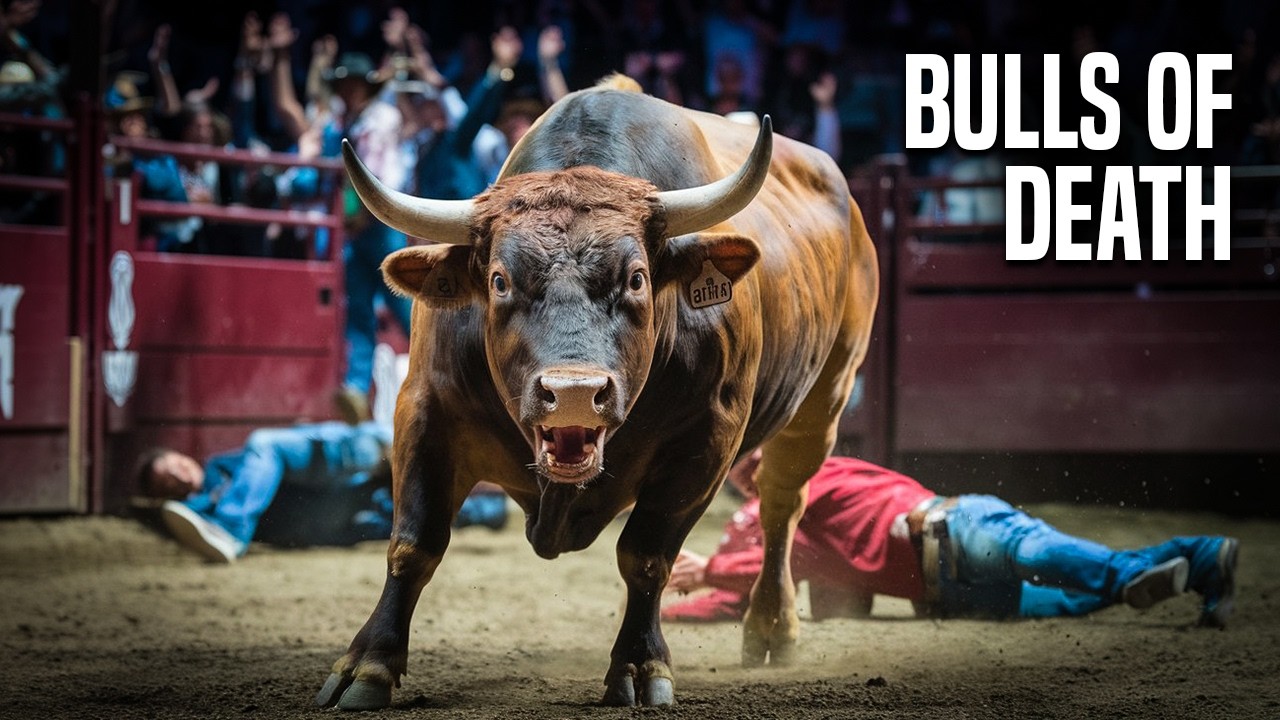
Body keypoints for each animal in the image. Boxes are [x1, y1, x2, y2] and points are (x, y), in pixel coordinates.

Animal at [315, 76, 878, 710]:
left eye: (636, 278)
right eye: (499, 280)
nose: (575, 393)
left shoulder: (708, 439)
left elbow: (647, 557)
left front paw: (639, 664)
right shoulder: (425, 411)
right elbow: (414, 545)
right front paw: (369, 664)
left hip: (823, 403)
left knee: (781, 502)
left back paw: (772, 627)